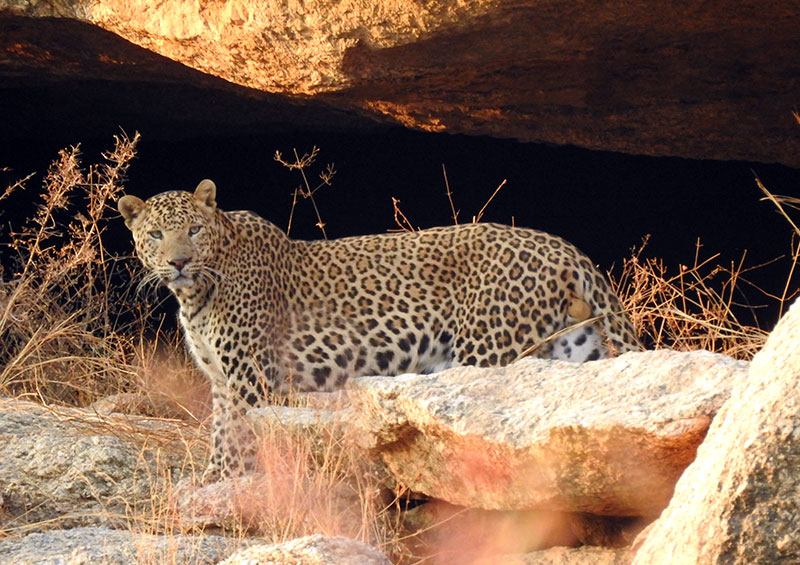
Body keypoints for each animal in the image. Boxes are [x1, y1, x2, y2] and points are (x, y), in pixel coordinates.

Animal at [118, 179, 641, 481]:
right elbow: (221, 432)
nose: (179, 261)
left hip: (490, 350)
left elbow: (240, 436)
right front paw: (211, 480)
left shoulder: (251, 376)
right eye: (156, 235)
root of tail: (563, 246)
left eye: (194, 230)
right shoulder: (221, 379)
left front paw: (231, 485)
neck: (195, 295)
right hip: (575, 347)